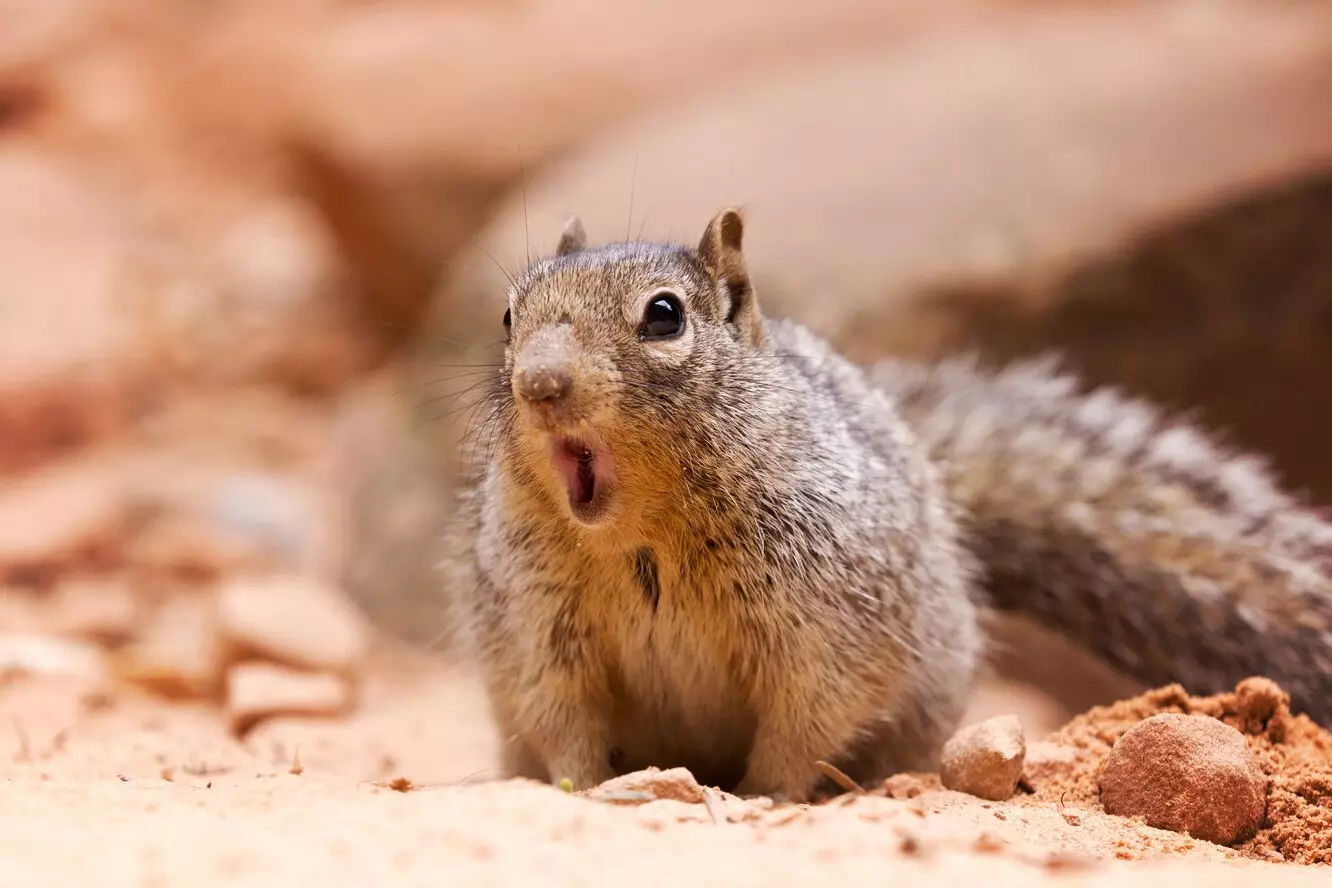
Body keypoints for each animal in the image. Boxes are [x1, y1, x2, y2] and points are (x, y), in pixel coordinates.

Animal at [442, 209, 1332, 804]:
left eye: (665, 315)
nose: (539, 383)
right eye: (510, 315)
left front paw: (763, 796)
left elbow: (806, 721)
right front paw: (580, 787)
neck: (641, 535)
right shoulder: (536, 624)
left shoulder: (830, 623)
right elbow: (562, 717)